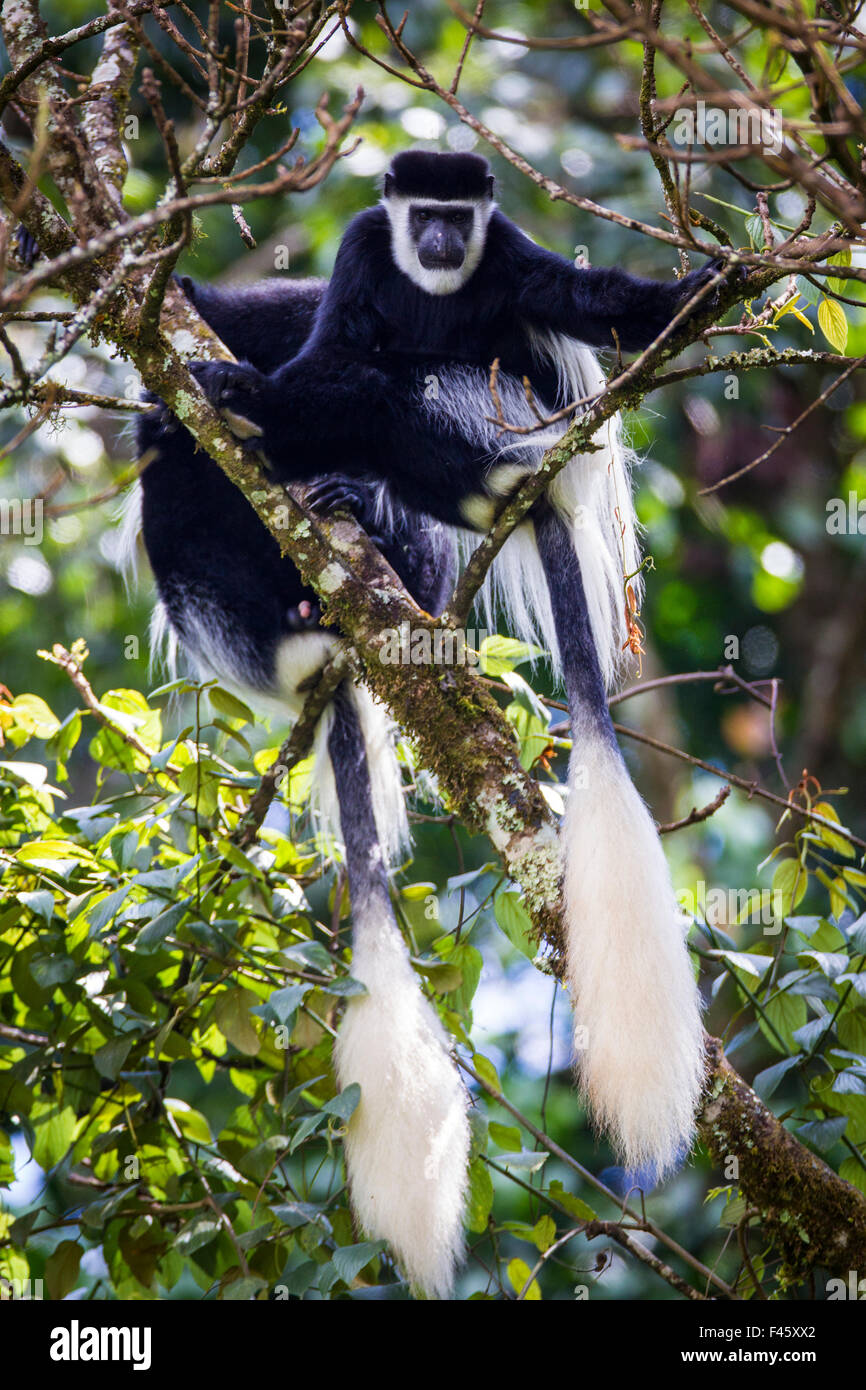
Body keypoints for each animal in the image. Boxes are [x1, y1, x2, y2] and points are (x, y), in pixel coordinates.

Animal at [189, 150, 742, 1181]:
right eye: (423, 217)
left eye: (459, 216)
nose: (444, 241)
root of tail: (544, 486)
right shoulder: (366, 249)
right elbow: (330, 339)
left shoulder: (511, 258)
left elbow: (594, 304)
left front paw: (708, 287)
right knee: (366, 387)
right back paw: (320, 470)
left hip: (509, 420)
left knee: (403, 385)